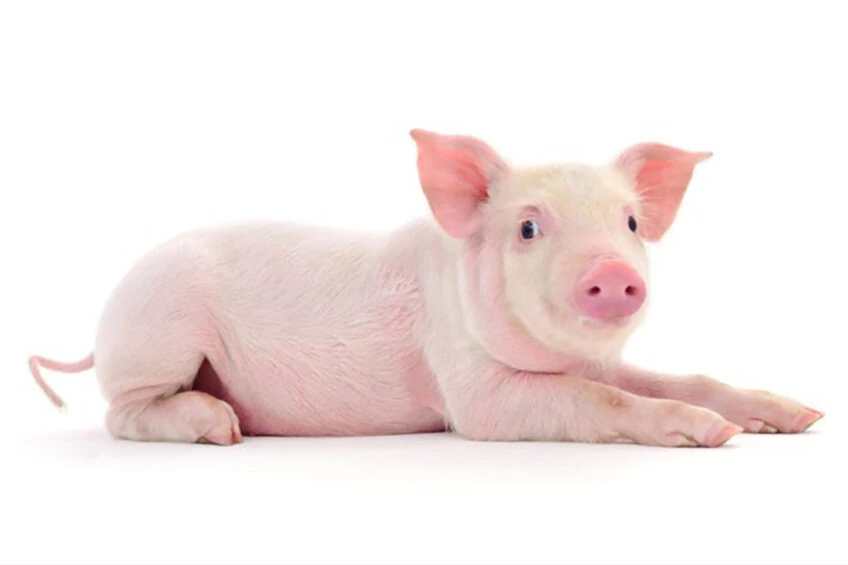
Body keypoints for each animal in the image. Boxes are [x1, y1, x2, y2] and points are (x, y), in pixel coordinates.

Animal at [29, 129, 823, 447]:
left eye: (629, 221)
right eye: (528, 228)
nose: (612, 272)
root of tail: (105, 321)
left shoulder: (601, 359)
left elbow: (673, 379)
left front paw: (798, 417)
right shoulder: (471, 392)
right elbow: (599, 400)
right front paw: (714, 436)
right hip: (160, 333)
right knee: (121, 414)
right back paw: (221, 430)